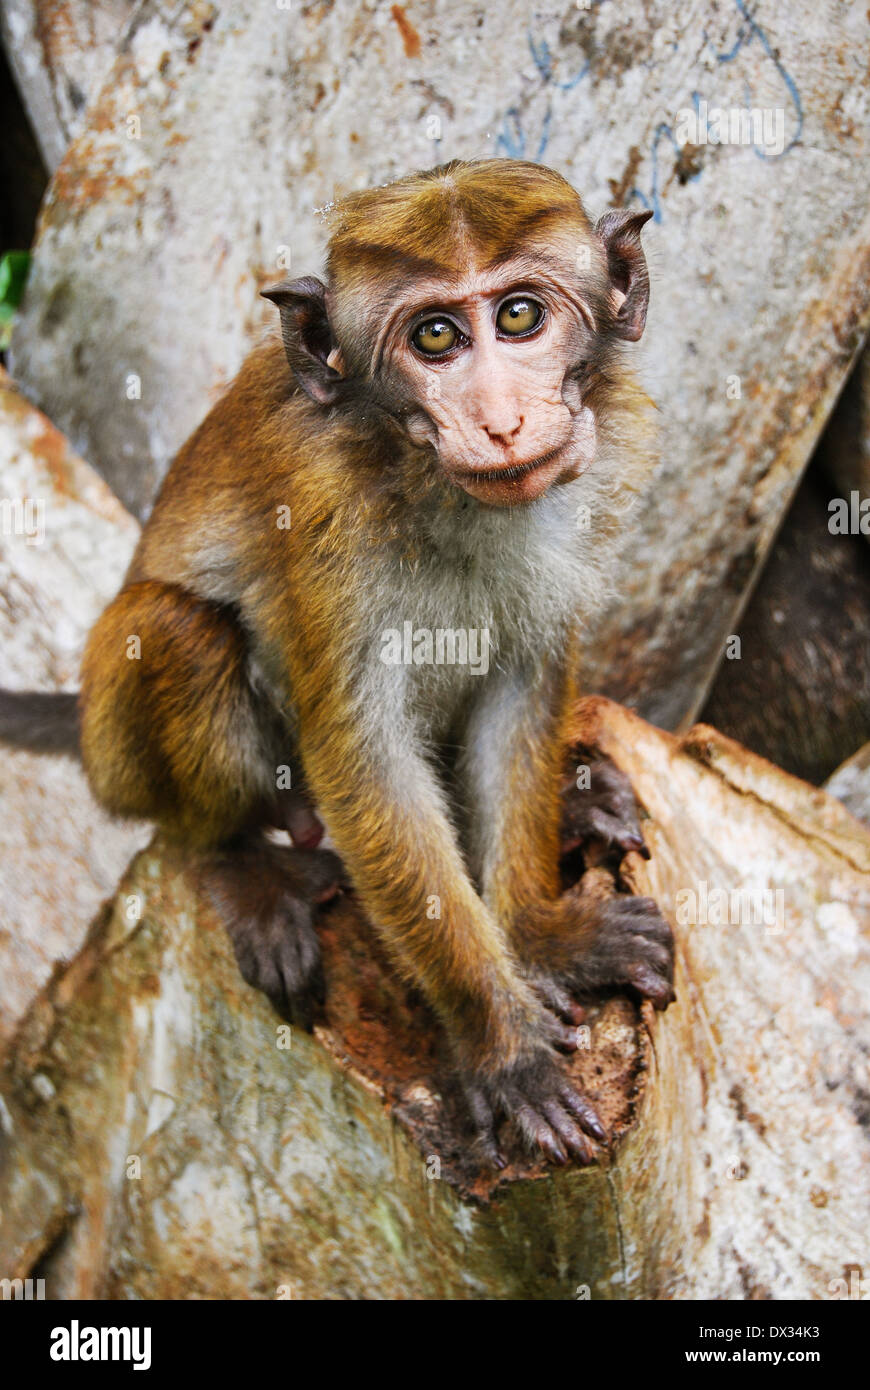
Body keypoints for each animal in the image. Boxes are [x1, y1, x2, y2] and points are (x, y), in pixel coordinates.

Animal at [0, 160, 674, 1168]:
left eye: (520, 316)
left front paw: (543, 936)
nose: (503, 421)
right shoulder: (324, 517)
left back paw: (579, 798)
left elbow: (519, 693)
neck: (435, 484)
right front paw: (503, 1049)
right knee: (179, 634)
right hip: (123, 755)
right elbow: (366, 762)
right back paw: (243, 860)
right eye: (434, 337)